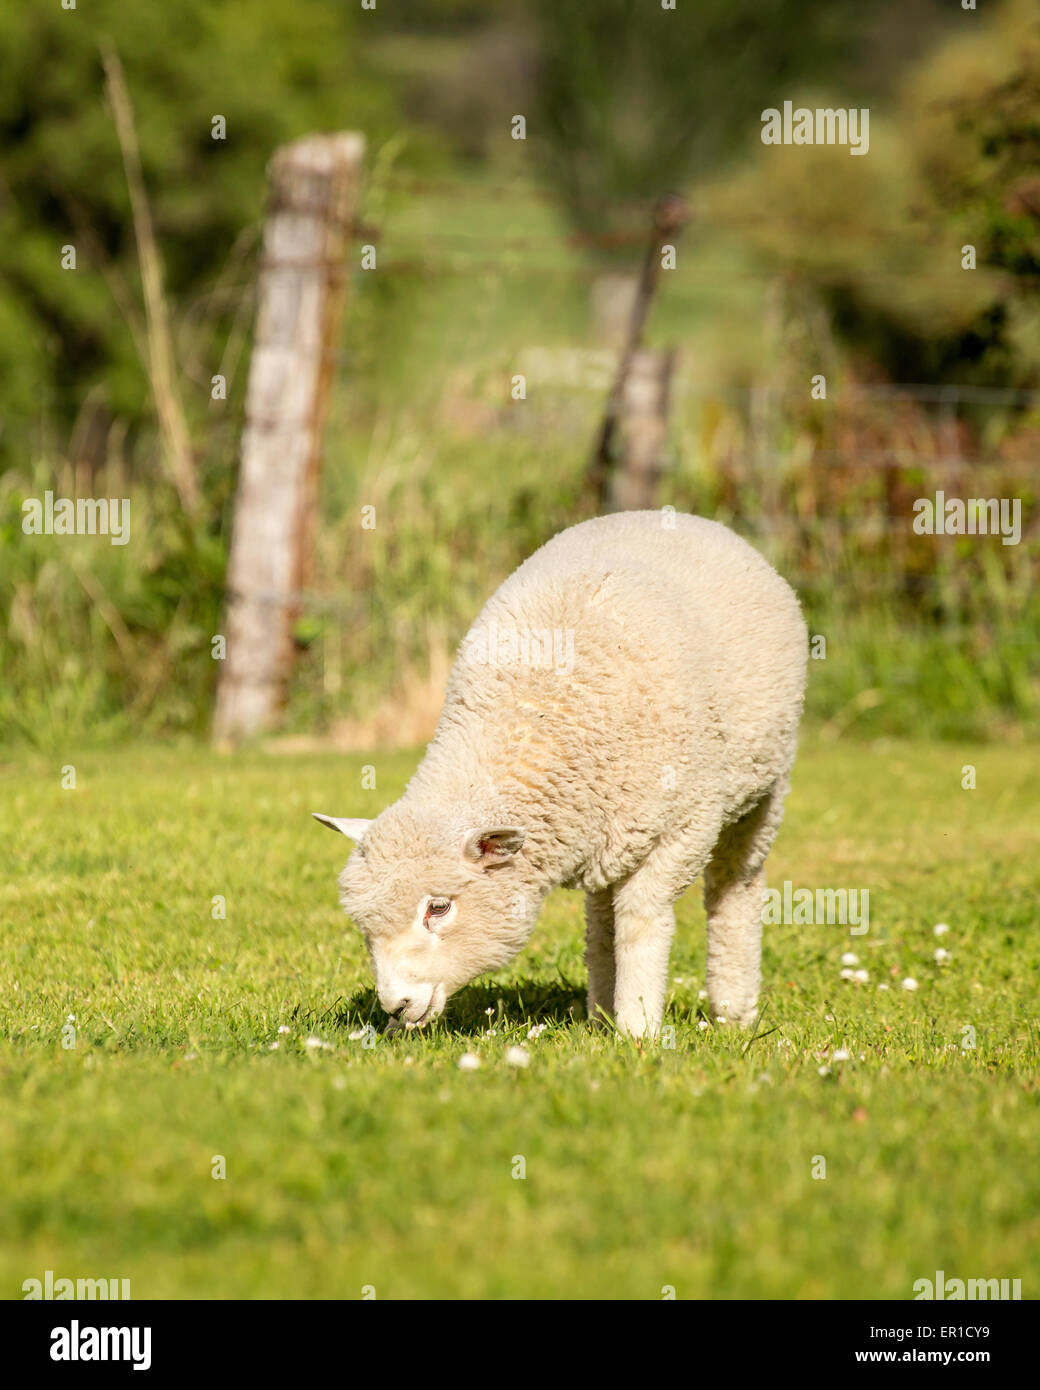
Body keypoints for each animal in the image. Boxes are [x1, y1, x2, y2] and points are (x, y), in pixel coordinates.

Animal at [313, 509, 807, 1038]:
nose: (396, 1005)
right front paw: (614, 1018)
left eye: (438, 908)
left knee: (735, 883)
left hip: (765, 786)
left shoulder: (683, 827)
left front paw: (639, 1031)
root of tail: (672, 514)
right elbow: (609, 928)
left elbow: (641, 919)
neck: (534, 714)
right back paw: (603, 1010)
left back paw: (733, 1010)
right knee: (601, 916)